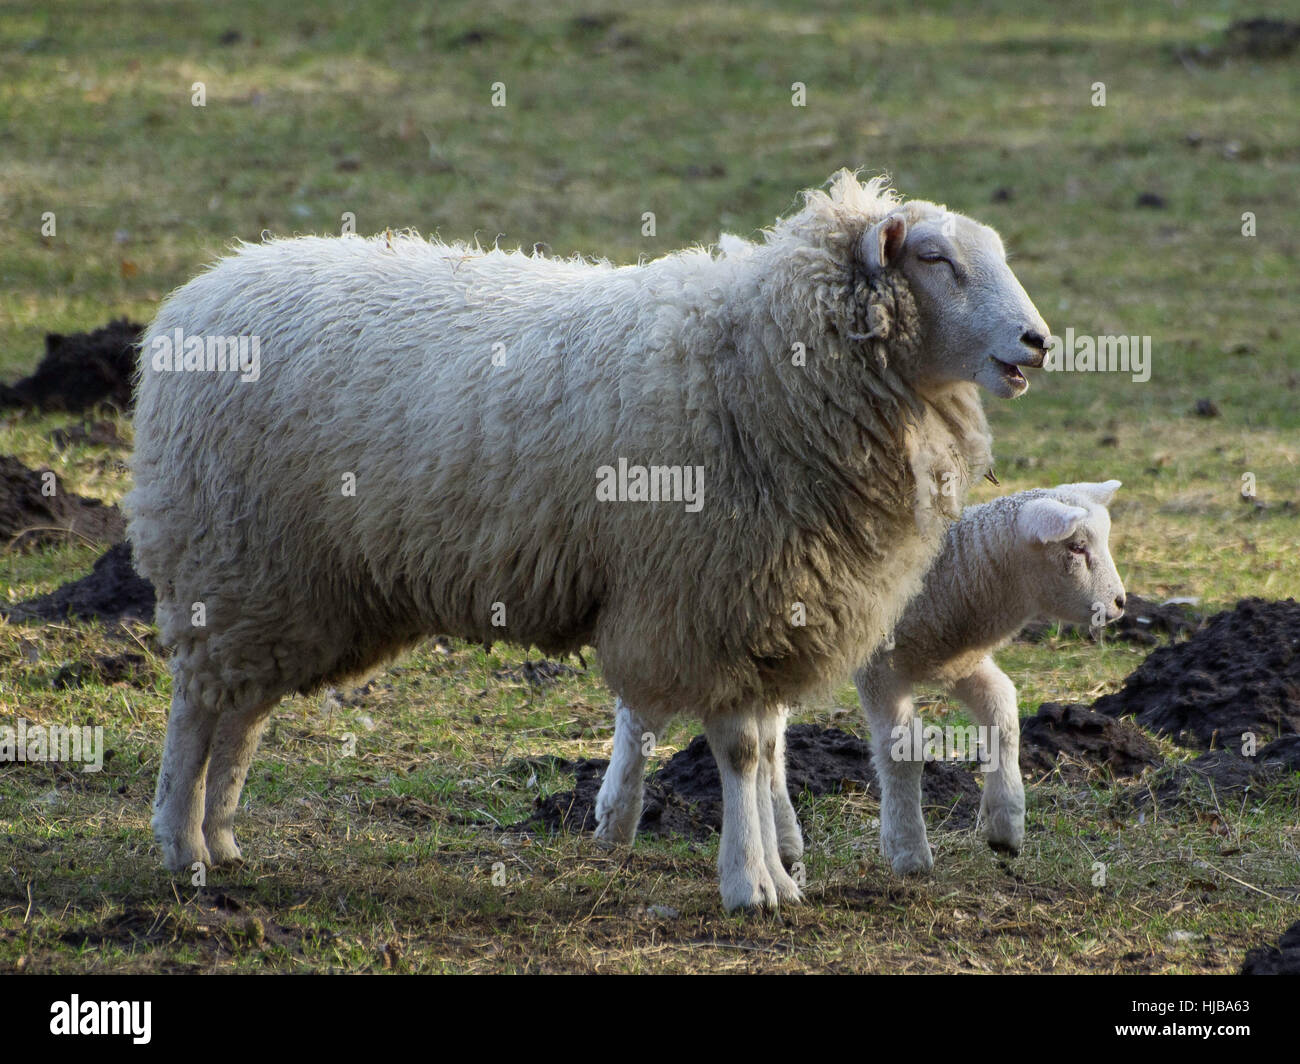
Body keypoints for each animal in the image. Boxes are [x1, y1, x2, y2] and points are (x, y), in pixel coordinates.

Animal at [125, 169, 1052, 911]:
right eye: (934, 258)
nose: (1039, 341)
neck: (756, 358)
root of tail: (203, 288)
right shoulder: (704, 598)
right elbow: (743, 750)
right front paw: (748, 886)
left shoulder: (765, 600)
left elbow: (761, 748)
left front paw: (776, 880)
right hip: (228, 556)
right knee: (195, 706)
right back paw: (178, 843)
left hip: (290, 590)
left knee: (240, 714)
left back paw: (223, 842)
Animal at [855, 480, 1126, 874]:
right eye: (1076, 547)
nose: (1120, 603)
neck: (943, 580)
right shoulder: (878, 668)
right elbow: (901, 749)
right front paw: (908, 850)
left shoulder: (959, 662)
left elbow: (1003, 710)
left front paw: (1006, 822)